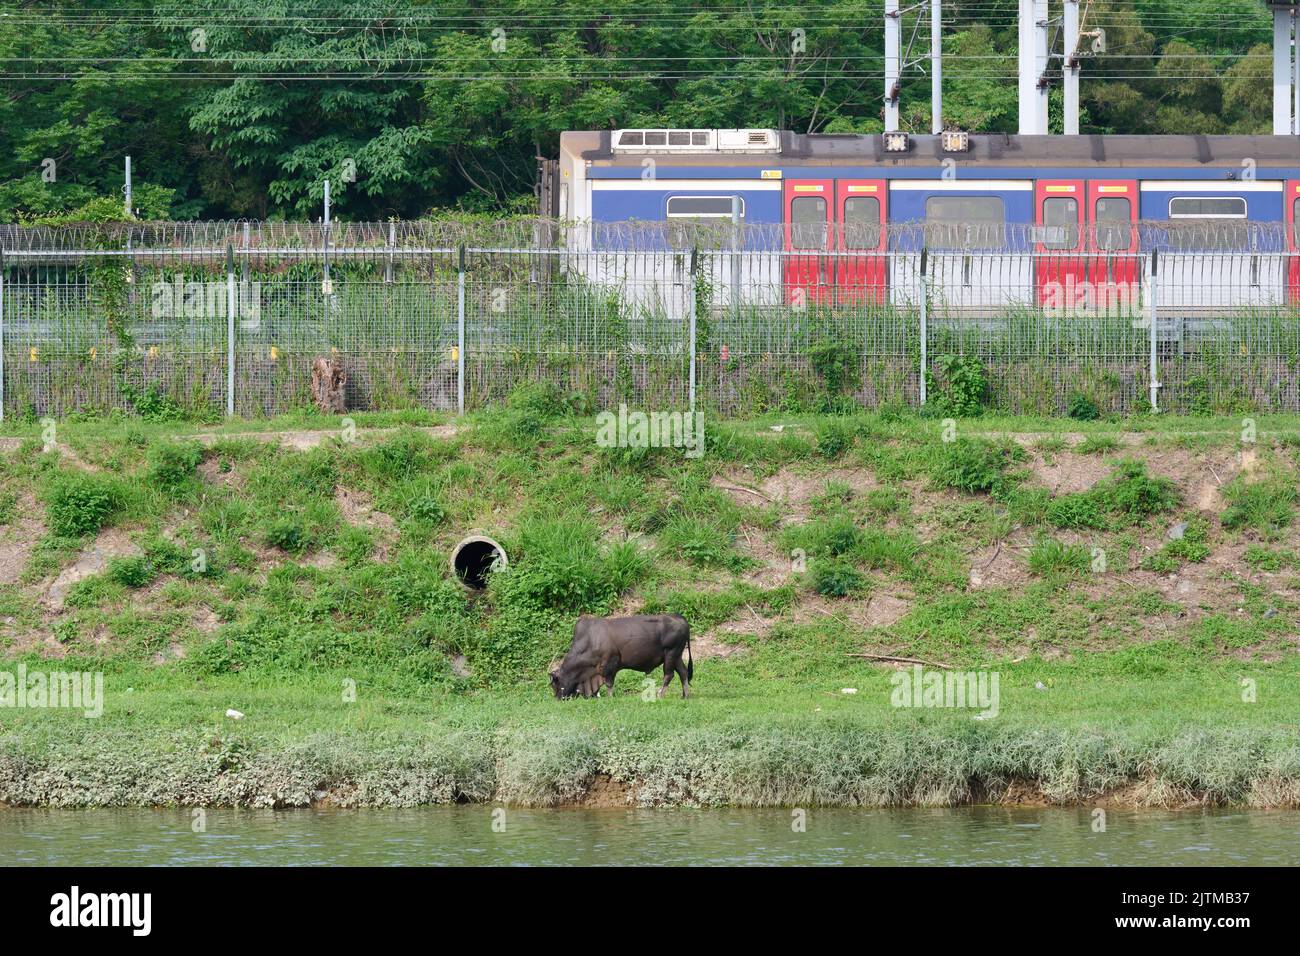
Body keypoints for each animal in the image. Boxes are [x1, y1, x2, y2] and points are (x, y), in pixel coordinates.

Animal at [549, 614, 693, 700]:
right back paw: (685, 696)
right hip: (677, 655)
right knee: (683, 672)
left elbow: (609, 683)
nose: (558, 699)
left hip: (671, 653)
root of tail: (680, 618)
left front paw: (609, 698)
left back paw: (660, 694)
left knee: (669, 674)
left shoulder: (610, 665)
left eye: (554, 684)